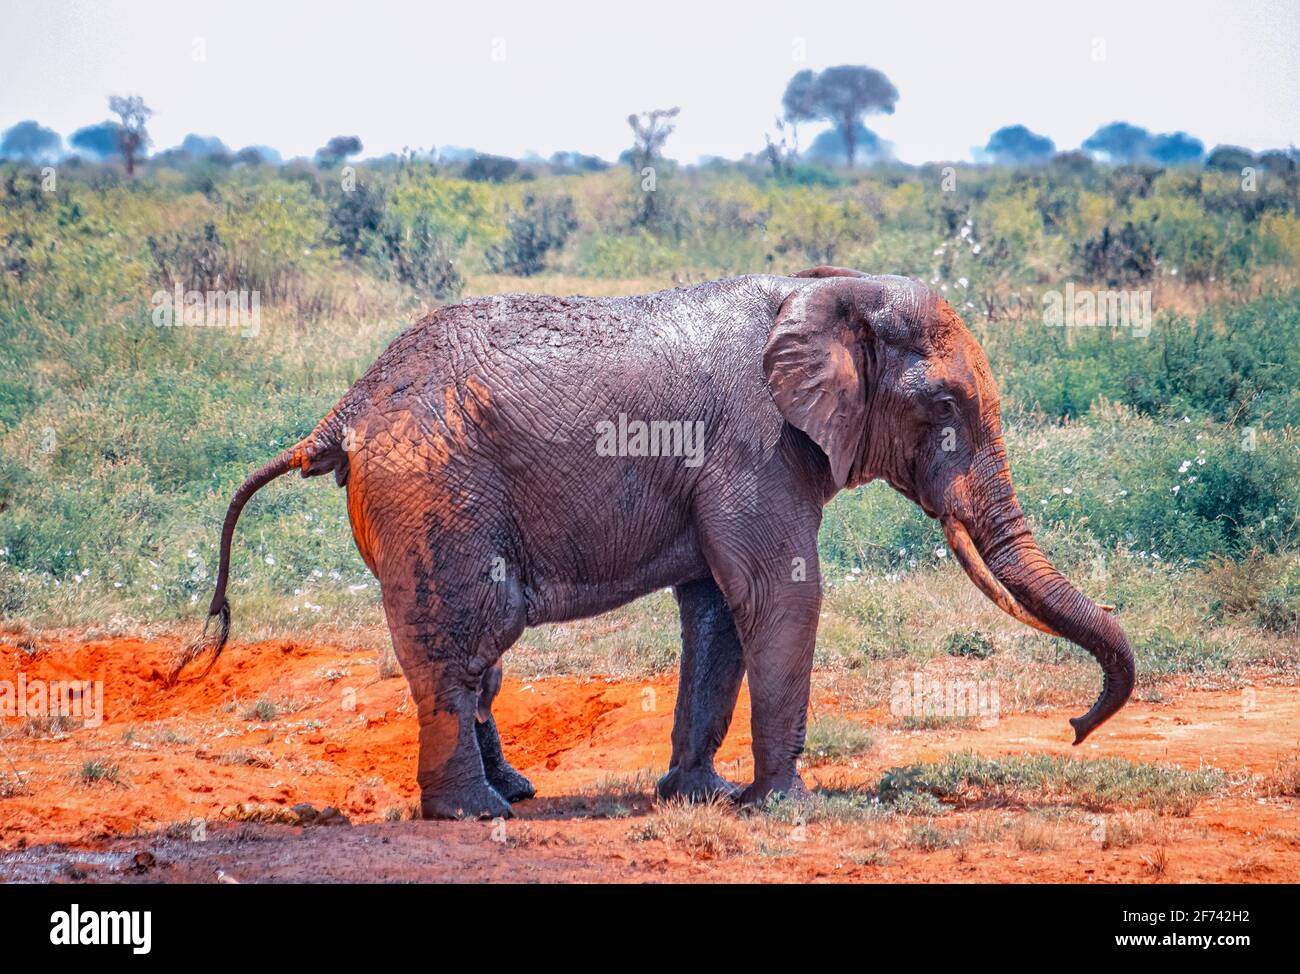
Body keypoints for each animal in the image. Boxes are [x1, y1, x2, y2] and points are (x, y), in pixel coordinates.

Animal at [178, 266, 1135, 819]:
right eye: (942, 406)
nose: (1075, 728)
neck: (829, 287)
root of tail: (345, 410)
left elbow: (716, 607)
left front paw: (699, 798)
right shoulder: (755, 442)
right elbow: (782, 592)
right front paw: (781, 806)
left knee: (482, 654)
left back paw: (513, 792)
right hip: (433, 490)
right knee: (460, 641)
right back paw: (476, 814)